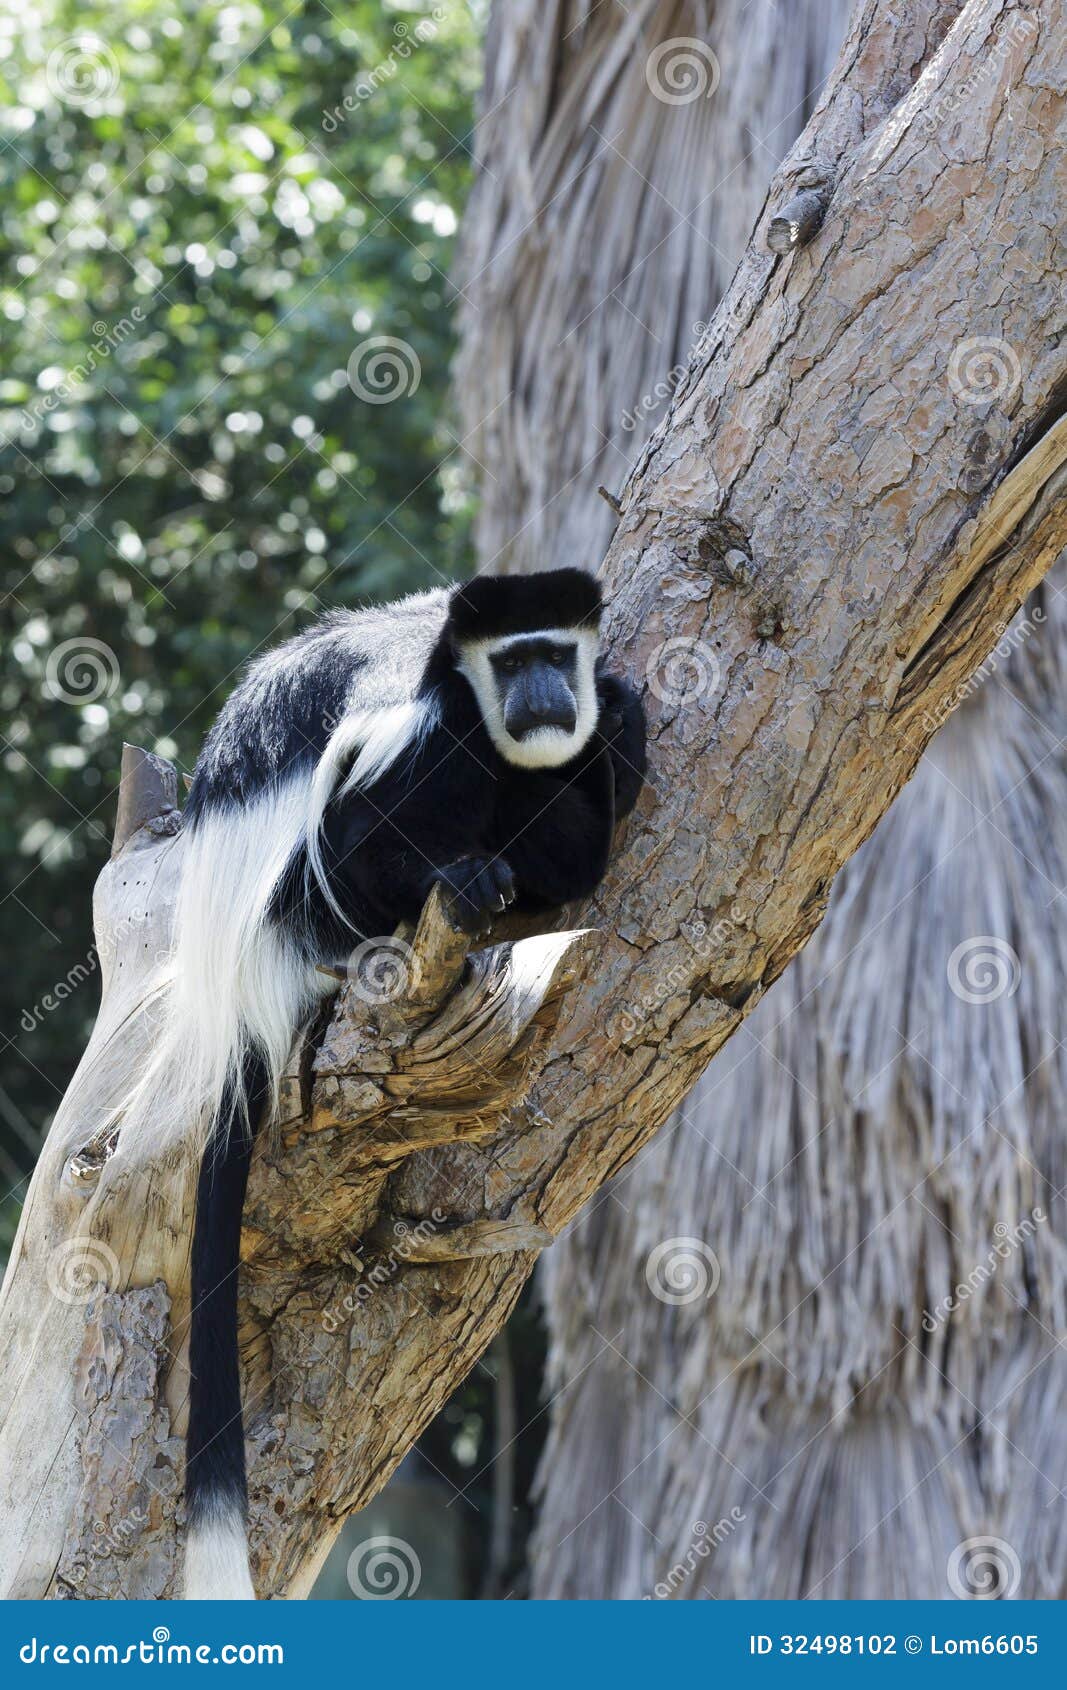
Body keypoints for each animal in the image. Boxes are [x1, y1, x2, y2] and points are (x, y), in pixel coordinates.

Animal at [114, 568, 644, 1599]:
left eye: (553, 655)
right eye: (512, 663)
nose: (545, 700)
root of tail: (239, 995)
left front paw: (619, 718)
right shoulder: (429, 722)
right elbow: (375, 825)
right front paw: (472, 868)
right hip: (305, 911)